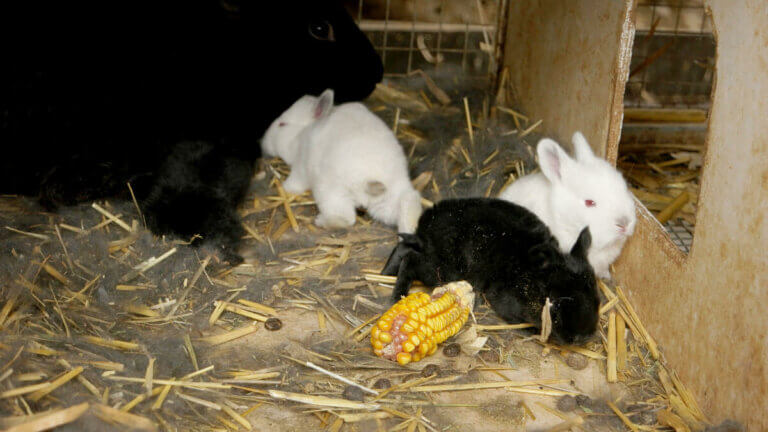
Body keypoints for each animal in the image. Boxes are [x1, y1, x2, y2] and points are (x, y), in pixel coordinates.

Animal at [261, 89, 423, 233]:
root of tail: (371, 179)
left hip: (332, 192)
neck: (301, 134)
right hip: (391, 197)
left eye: (282, 124)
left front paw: (284, 188)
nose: (263, 142)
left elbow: (295, 183)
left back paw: (321, 221)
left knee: (344, 218)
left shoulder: (301, 167)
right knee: (409, 204)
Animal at [381, 198, 599, 345]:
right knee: (410, 258)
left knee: (405, 247)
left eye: (597, 299)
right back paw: (396, 295)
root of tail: (427, 221)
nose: (583, 337)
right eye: (555, 301)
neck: (527, 273)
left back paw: (386, 273)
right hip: (440, 270)